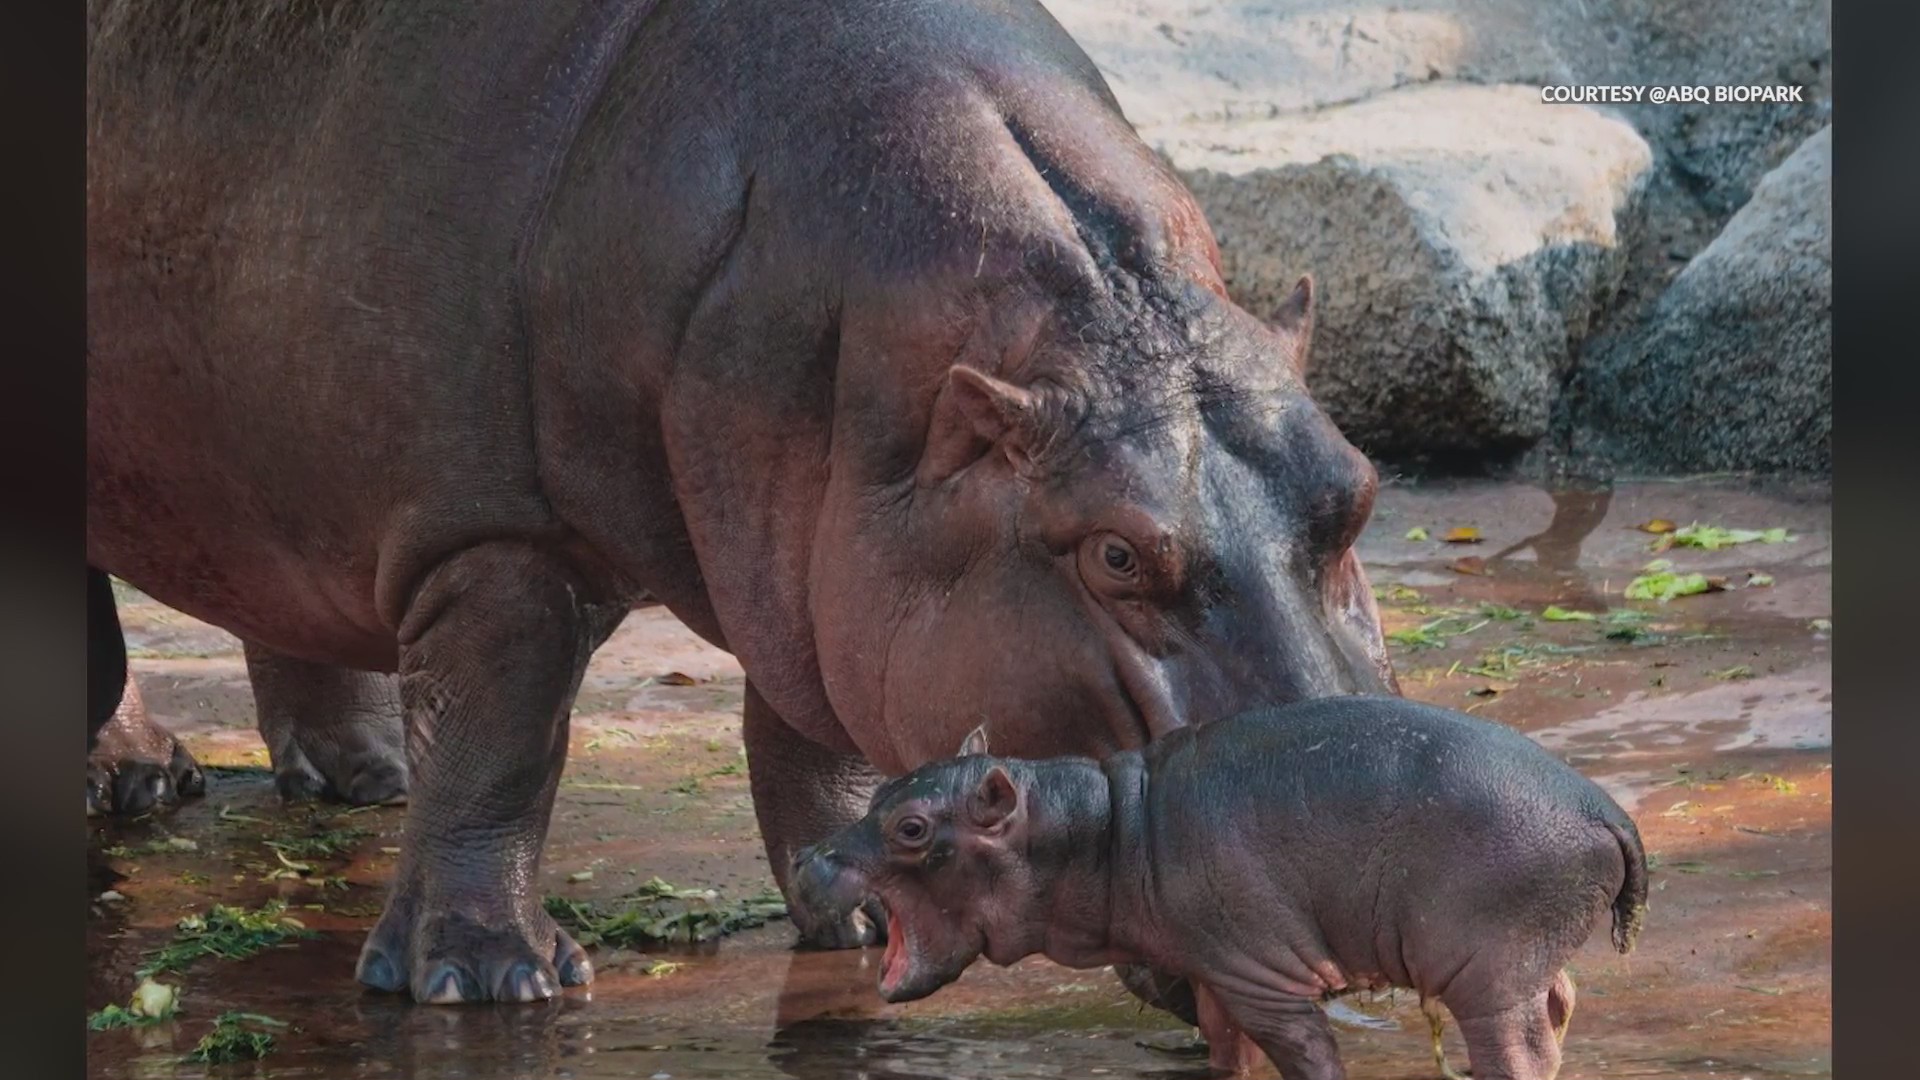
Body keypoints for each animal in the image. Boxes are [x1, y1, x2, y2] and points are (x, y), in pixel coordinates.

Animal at [87, 0, 1393, 1003]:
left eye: (1360, 488)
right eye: (1116, 557)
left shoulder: (815, 550)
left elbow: (813, 733)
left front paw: (859, 913)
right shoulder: (499, 532)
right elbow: (502, 740)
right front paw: (486, 981)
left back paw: (364, 777)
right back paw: (135, 782)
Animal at [794, 697, 1649, 1080]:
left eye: (911, 827)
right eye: (879, 792)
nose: (803, 858)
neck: (1101, 827)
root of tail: (1605, 810)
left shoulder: (1262, 974)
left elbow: (1306, 1053)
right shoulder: (1212, 971)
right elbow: (1227, 1049)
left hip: (1487, 970)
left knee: (1520, 1047)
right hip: (1517, 958)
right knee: (1559, 1000)